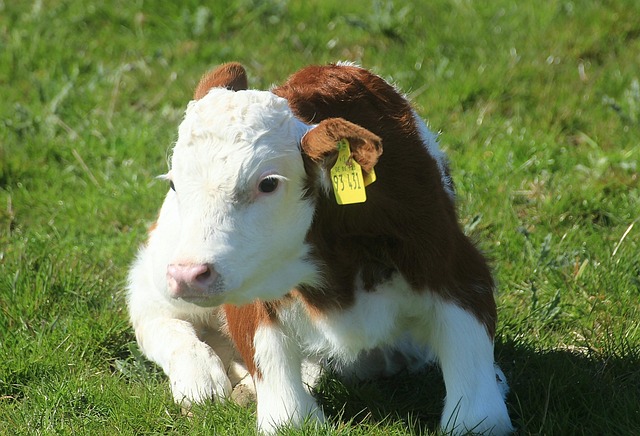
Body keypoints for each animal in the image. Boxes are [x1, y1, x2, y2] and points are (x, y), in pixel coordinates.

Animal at [127, 62, 513, 435]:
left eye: (268, 183)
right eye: (174, 183)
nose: (188, 275)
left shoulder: (455, 267)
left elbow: (478, 416)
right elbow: (287, 416)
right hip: (160, 269)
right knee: (156, 317)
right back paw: (202, 382)